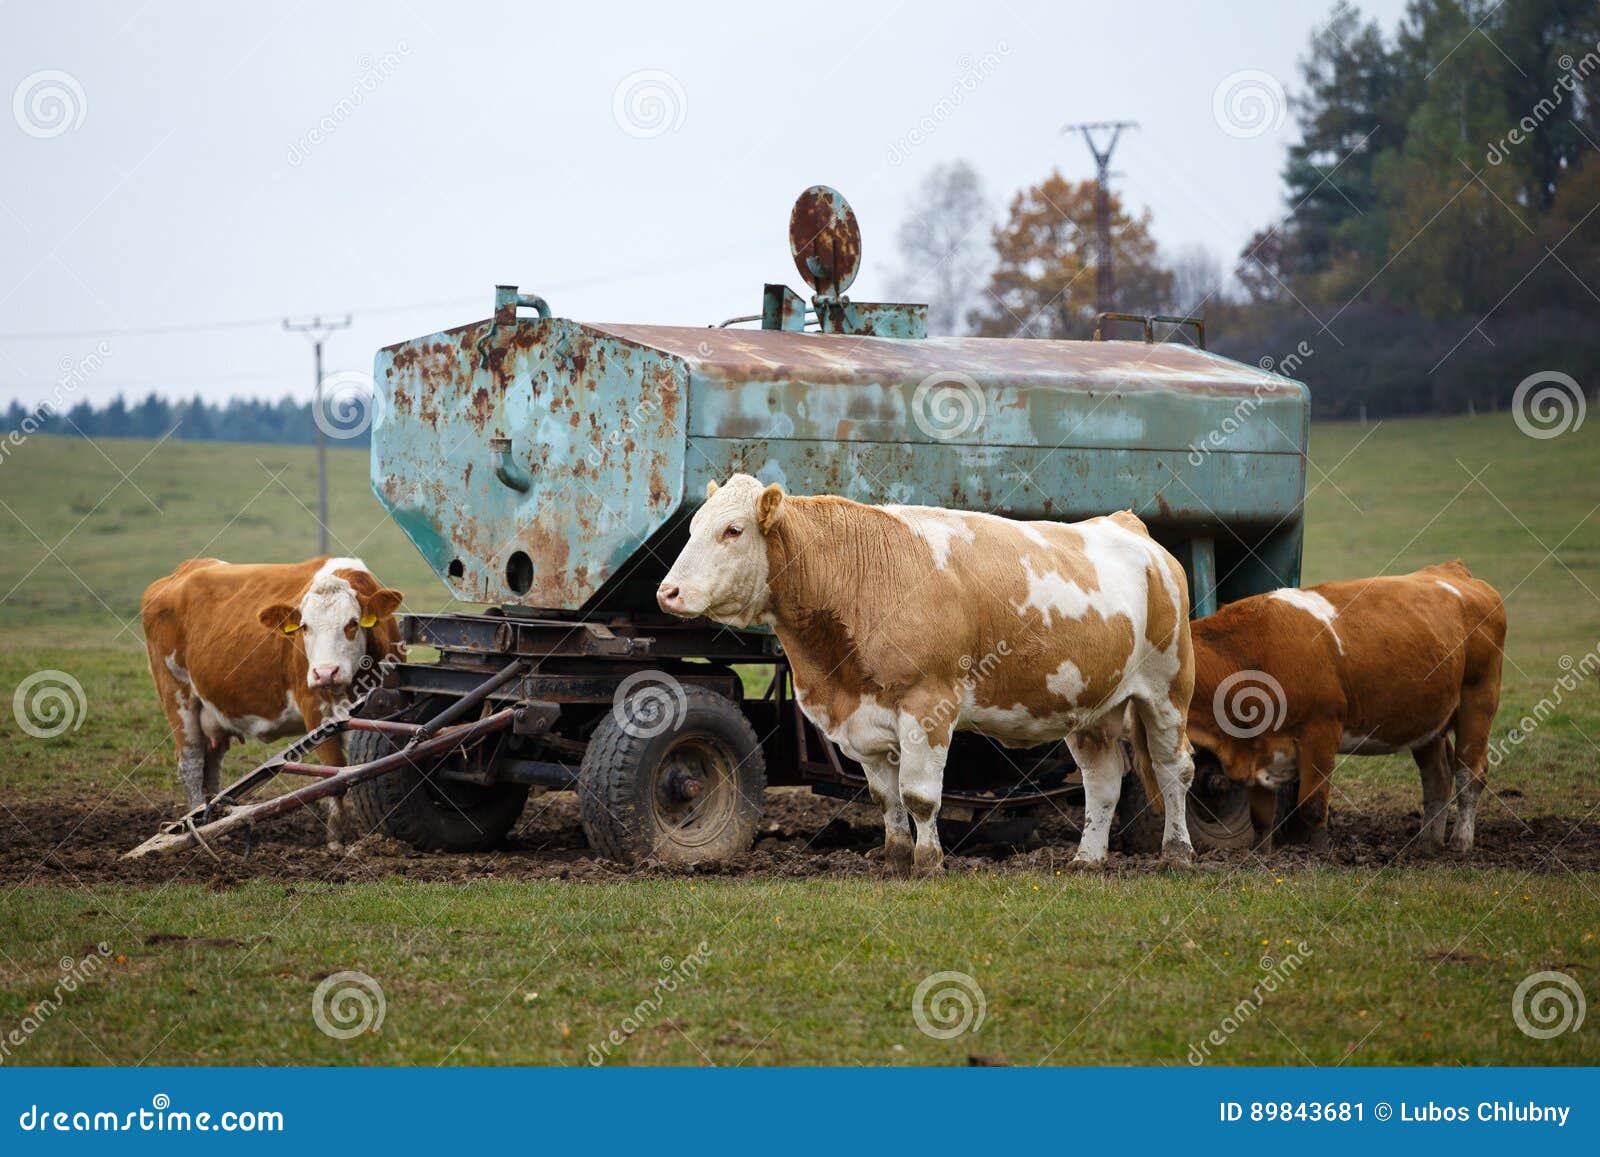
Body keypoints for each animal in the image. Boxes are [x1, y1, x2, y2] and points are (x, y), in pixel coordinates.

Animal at [140, 556, 405, 848]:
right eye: (304, 627)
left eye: (352, 623)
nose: (325, 673)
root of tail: (184, 570)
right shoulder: (316, 710)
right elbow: (335, 768)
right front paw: (337, 836)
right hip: (178, 697)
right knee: (192, 764)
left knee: (212, 767)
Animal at [655, 474, 1199, 875]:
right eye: (692, 528)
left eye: (733, 530)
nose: (668, 592)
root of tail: (1128, 527)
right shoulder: (861, 717)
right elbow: (884, 796)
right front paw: (895, 859)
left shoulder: (928, 703)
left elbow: (918, 796)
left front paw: (929, 863)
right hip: (1091, 706)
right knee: (1103, 781)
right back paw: (1088, 859)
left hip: (1168, 691)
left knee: (1175, 768)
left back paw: (1177, 853)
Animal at [1184, 561, 1506, 854]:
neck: (1248, 655)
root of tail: (1453, 570)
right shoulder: (1259, 749)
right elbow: (1261, 817)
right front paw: (1260, 855)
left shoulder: (1321, 731)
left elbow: (1312, 803)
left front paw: (1320, 853)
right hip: (1428, 721)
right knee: (1438, 779)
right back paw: (1428, 845)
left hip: (1478, 700)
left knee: (1469, 774)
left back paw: (1461, 842)